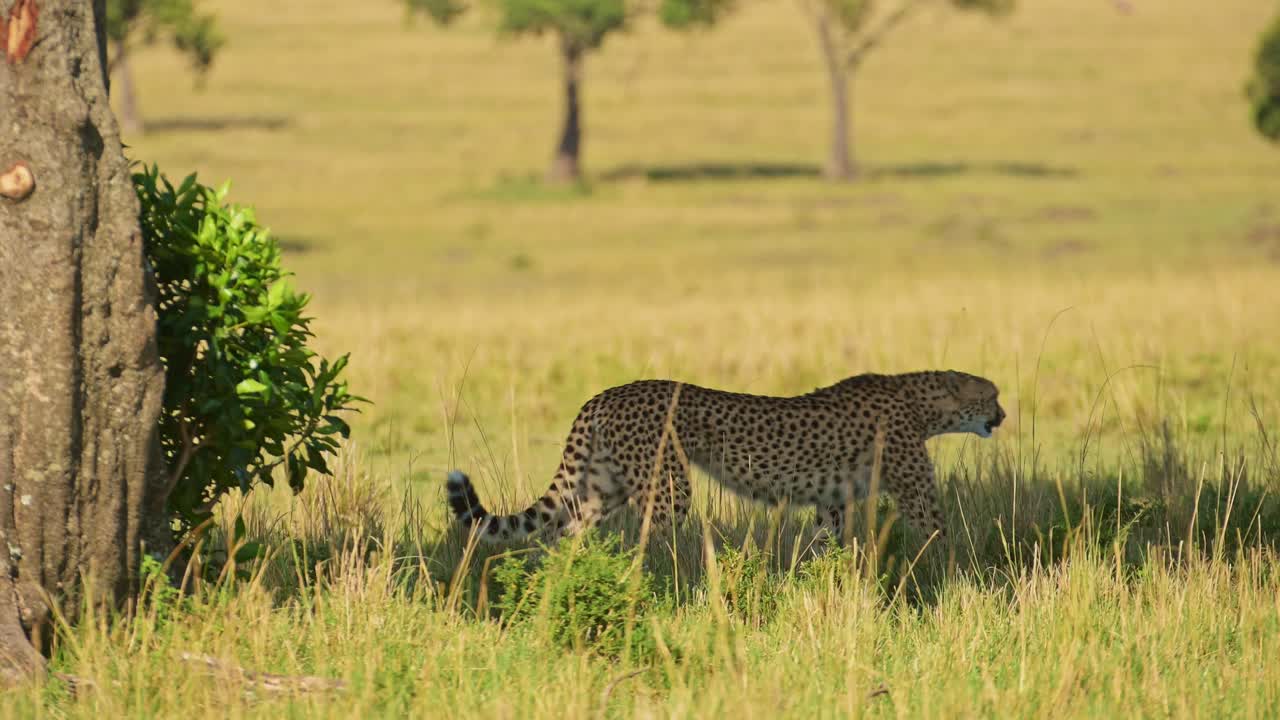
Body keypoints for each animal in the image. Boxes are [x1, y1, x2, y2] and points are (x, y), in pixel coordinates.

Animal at [446, 369, 1004, 547]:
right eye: (992, 394)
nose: (1002, 414)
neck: (921, 401)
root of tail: (605, 393)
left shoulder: (834, 500)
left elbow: (830, 545)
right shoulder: (915, 493)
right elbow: (939, 537)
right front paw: (958, 574)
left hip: (601, 488)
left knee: (567, 536)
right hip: (667, 486)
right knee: (651, 540)